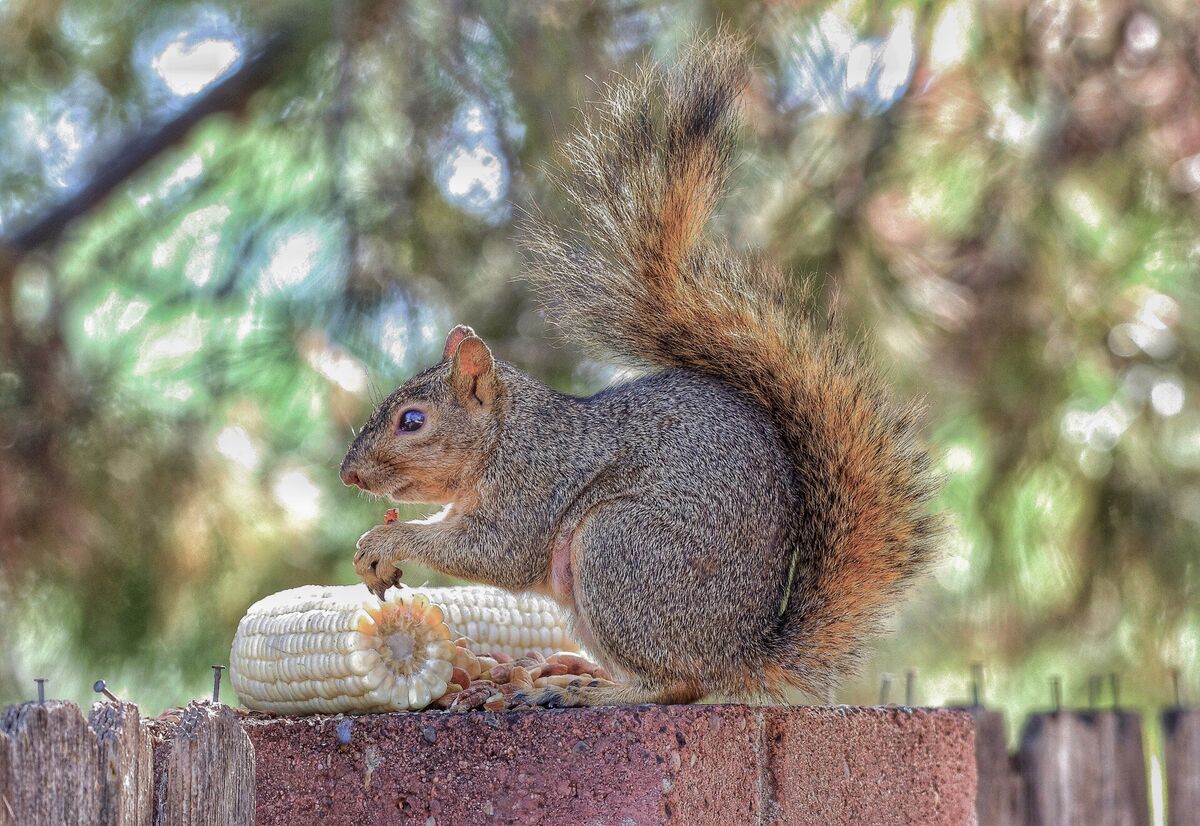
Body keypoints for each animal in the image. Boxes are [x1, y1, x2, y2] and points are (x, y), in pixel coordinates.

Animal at [339, 35, 939, 707]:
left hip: (619, 553)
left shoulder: (533, 485)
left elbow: (495, 552)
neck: (505, 437)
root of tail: (739, 655)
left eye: (412, 421)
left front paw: (389, 542)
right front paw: (370, 549)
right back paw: (579, 672)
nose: (348, 475)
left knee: (676, 685)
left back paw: (593, 693)